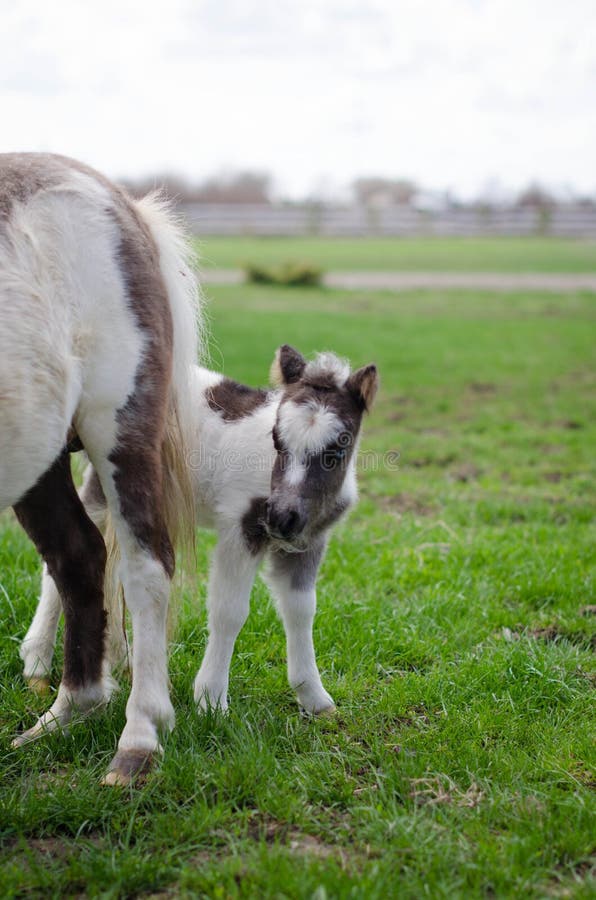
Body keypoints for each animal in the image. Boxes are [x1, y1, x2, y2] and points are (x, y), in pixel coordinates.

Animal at [0, 153, 201, 785]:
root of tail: (124, 203)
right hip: (40, 453)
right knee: (79, 556)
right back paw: (66, 711)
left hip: (118, 430)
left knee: (144, 567)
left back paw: (137, 740)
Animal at [21, 346, 378, 717]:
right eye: (277, 440)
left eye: (339, 448)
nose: (280, 517)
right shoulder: (240, 527)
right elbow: (229, 610)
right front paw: (211, 701)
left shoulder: (309, 541)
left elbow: (301, 608)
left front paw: (315, 698)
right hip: (104, 485)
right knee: (62, 564)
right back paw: (37, 665)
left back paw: (124, 663)